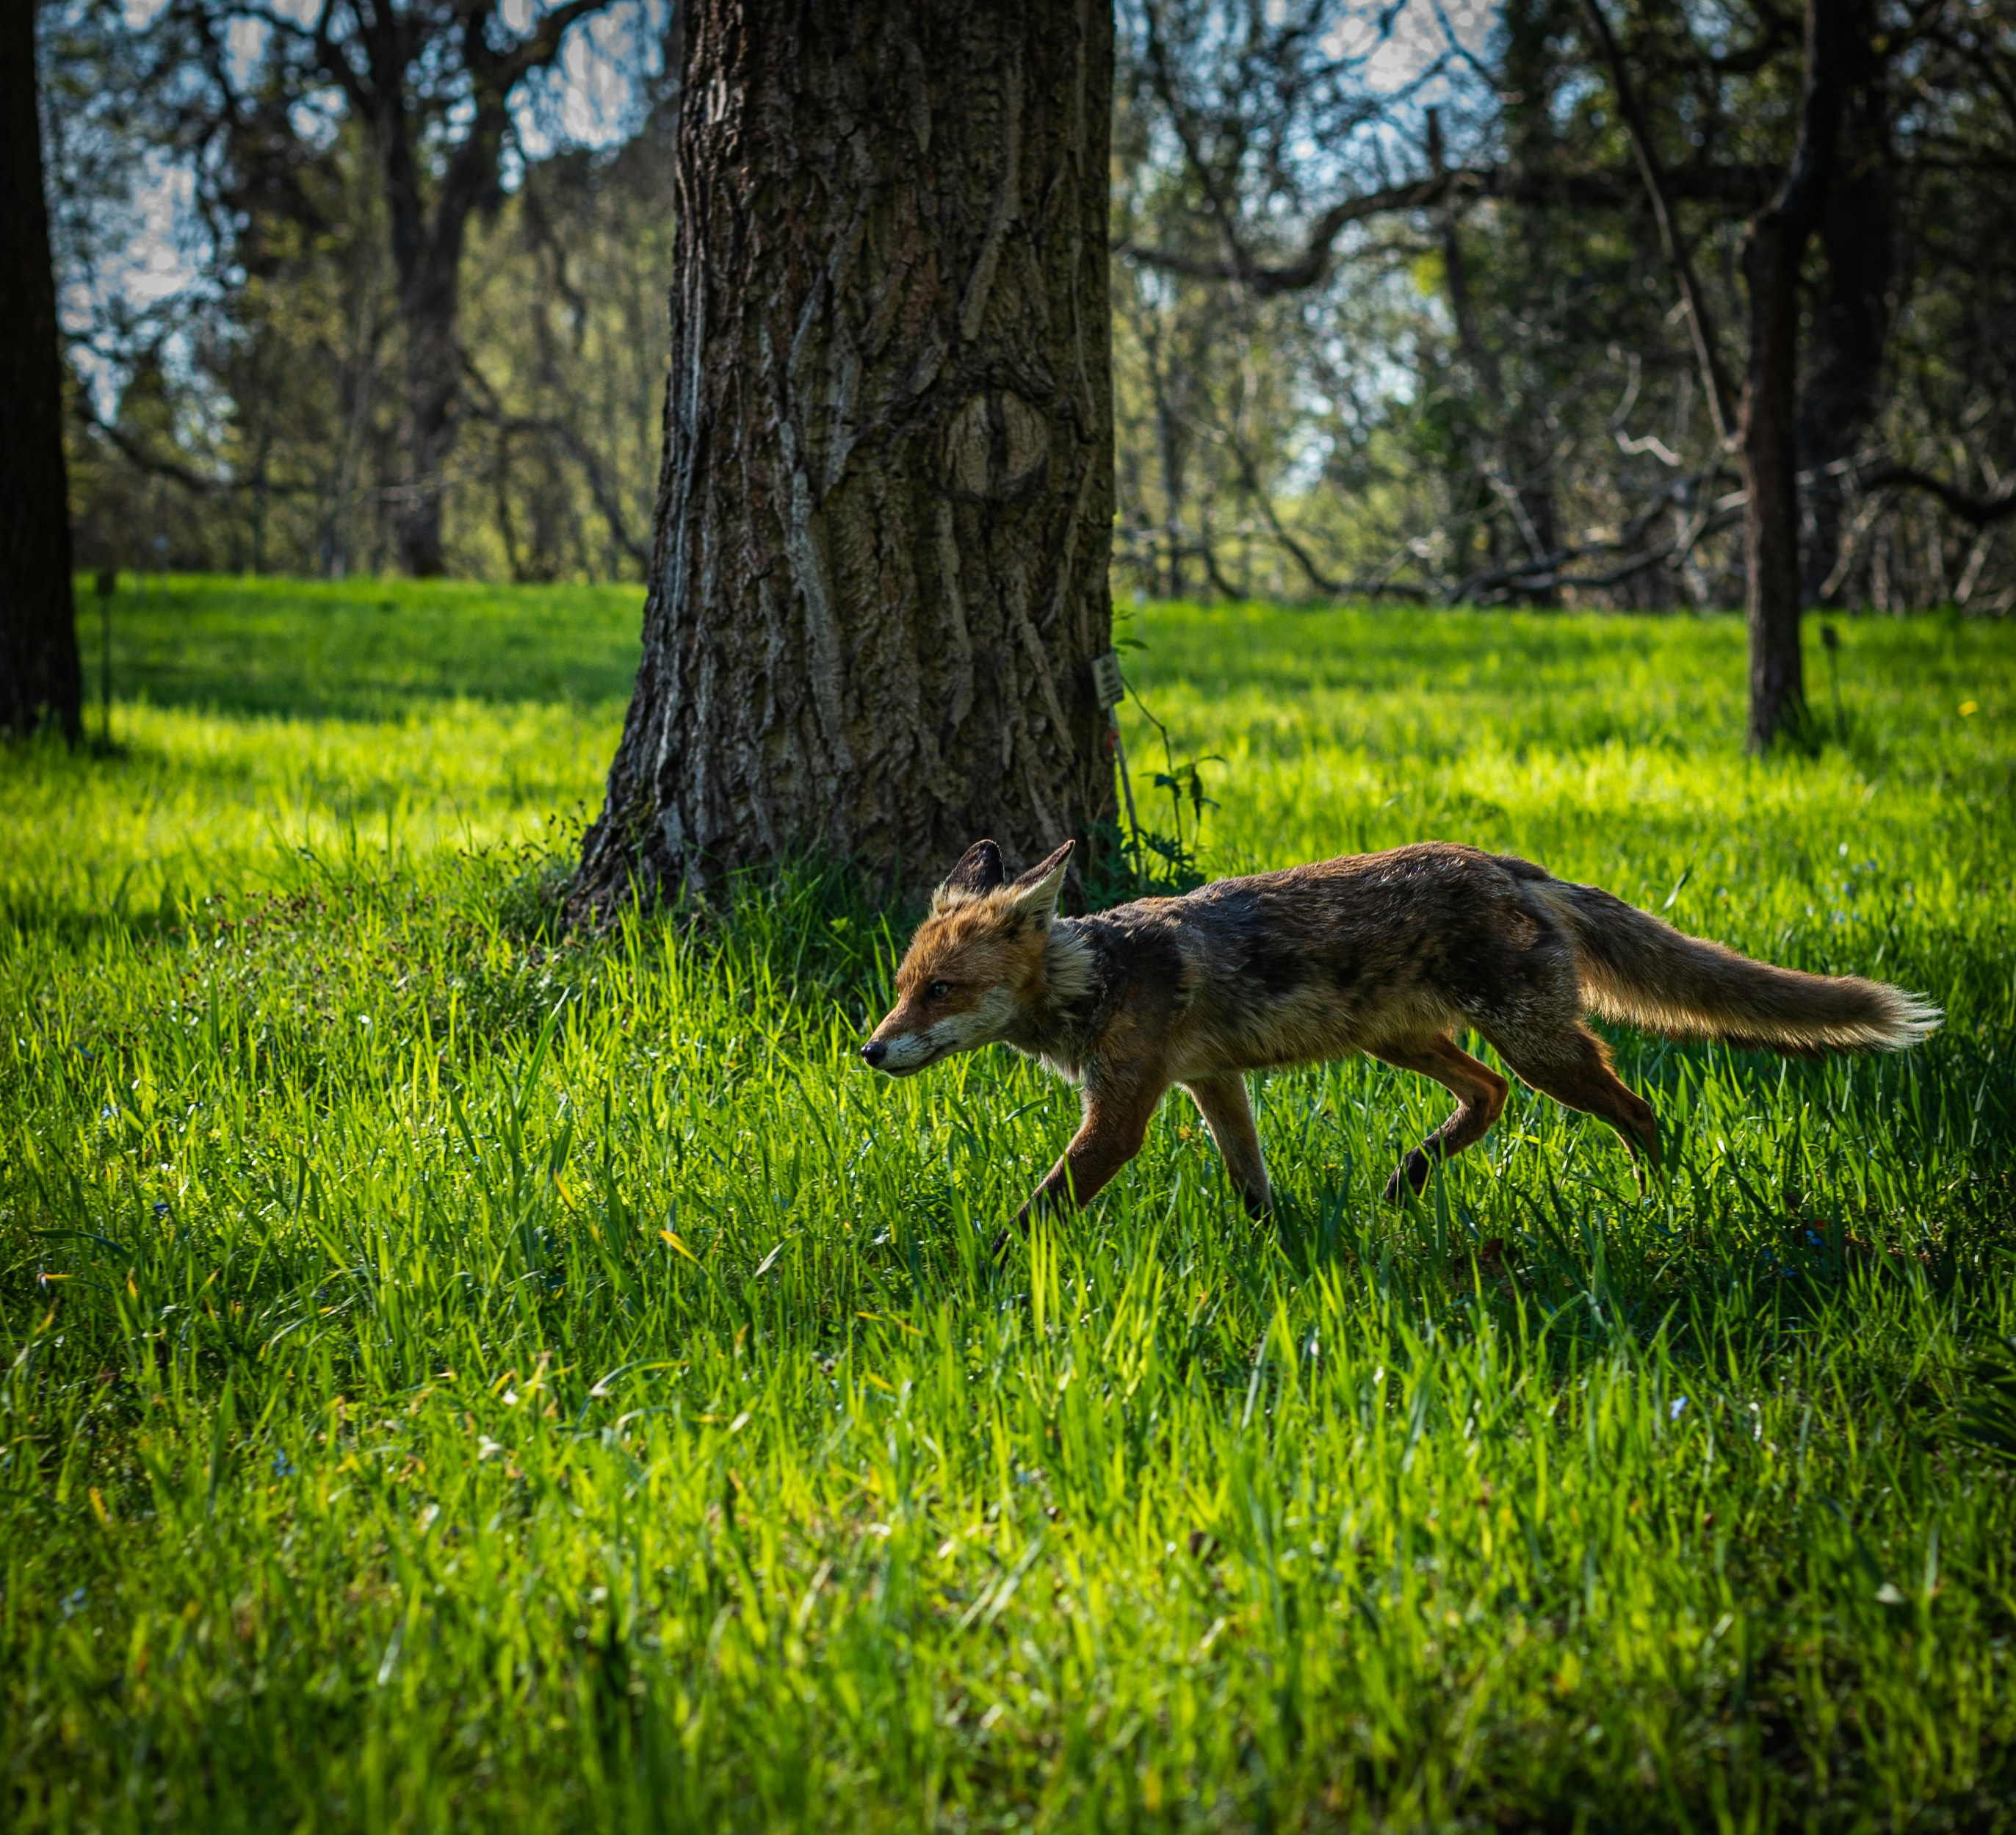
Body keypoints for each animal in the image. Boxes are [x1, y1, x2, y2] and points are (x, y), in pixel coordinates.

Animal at [862, 838, 1940, 1226]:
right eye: (902, 990)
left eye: (944, 992)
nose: (869, 1051)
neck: (1099, 975)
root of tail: (1509, 863)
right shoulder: (1212, 1082)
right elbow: (1249, 1177)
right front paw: (1274, 1241)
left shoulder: (1123, 1110)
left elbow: (1042, 1205)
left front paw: (990, 1266)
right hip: (1409, 1044)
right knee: (1488, 1099)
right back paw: (1410, 1178)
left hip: (1539, 1047)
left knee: (1638, 1108)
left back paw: (1660, 1201)